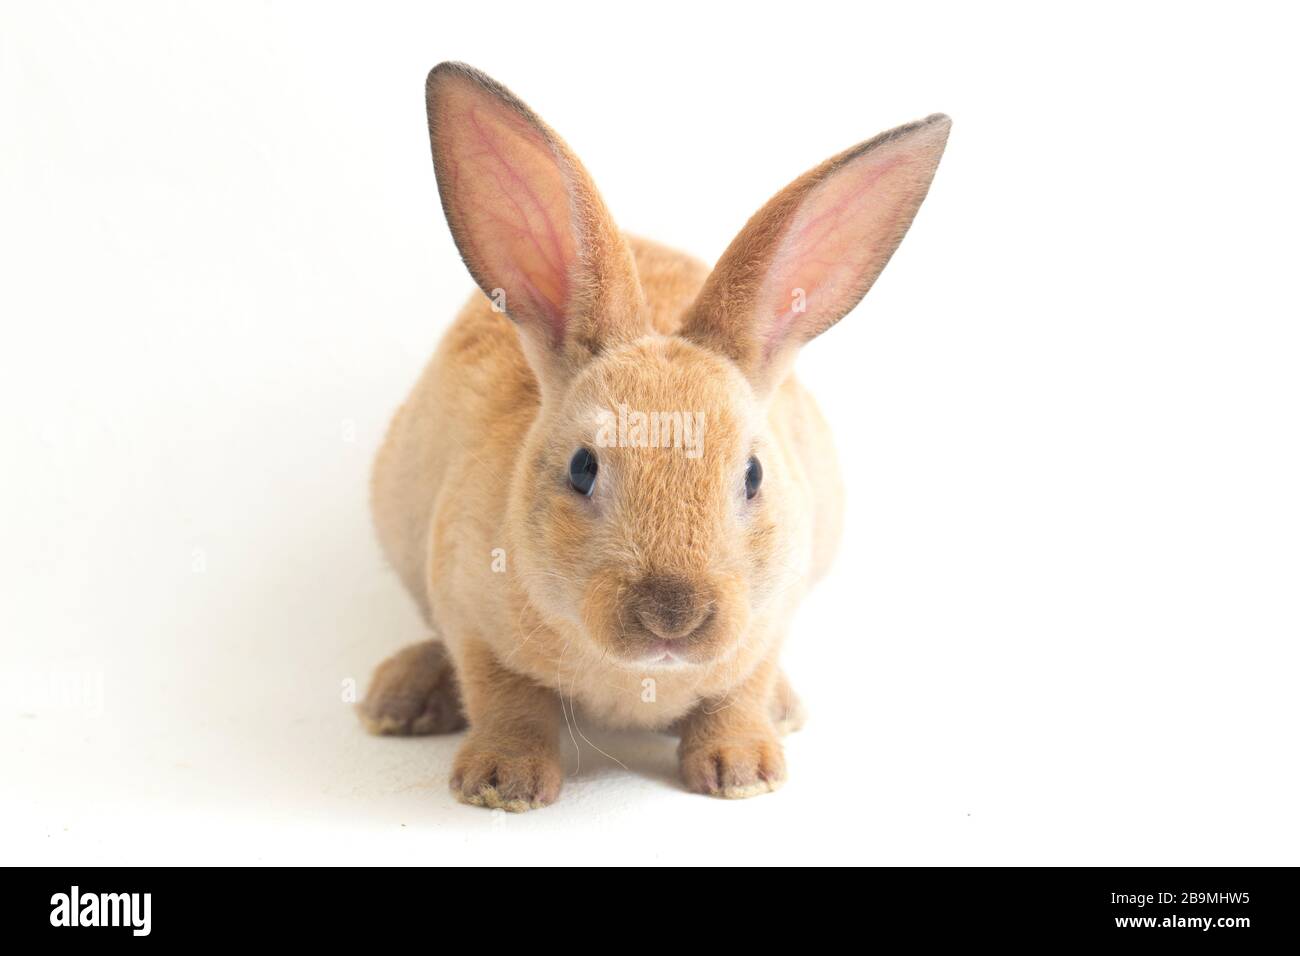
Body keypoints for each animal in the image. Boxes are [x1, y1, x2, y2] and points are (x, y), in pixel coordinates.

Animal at [358, 61, 950, 811]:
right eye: (582, 468)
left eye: (753, 475)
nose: (674, 614)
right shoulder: (469, 612)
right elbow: (506, 698)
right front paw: (502, 784)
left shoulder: (768, 622)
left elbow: (737, 693)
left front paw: (743, 772)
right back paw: (398, 701)